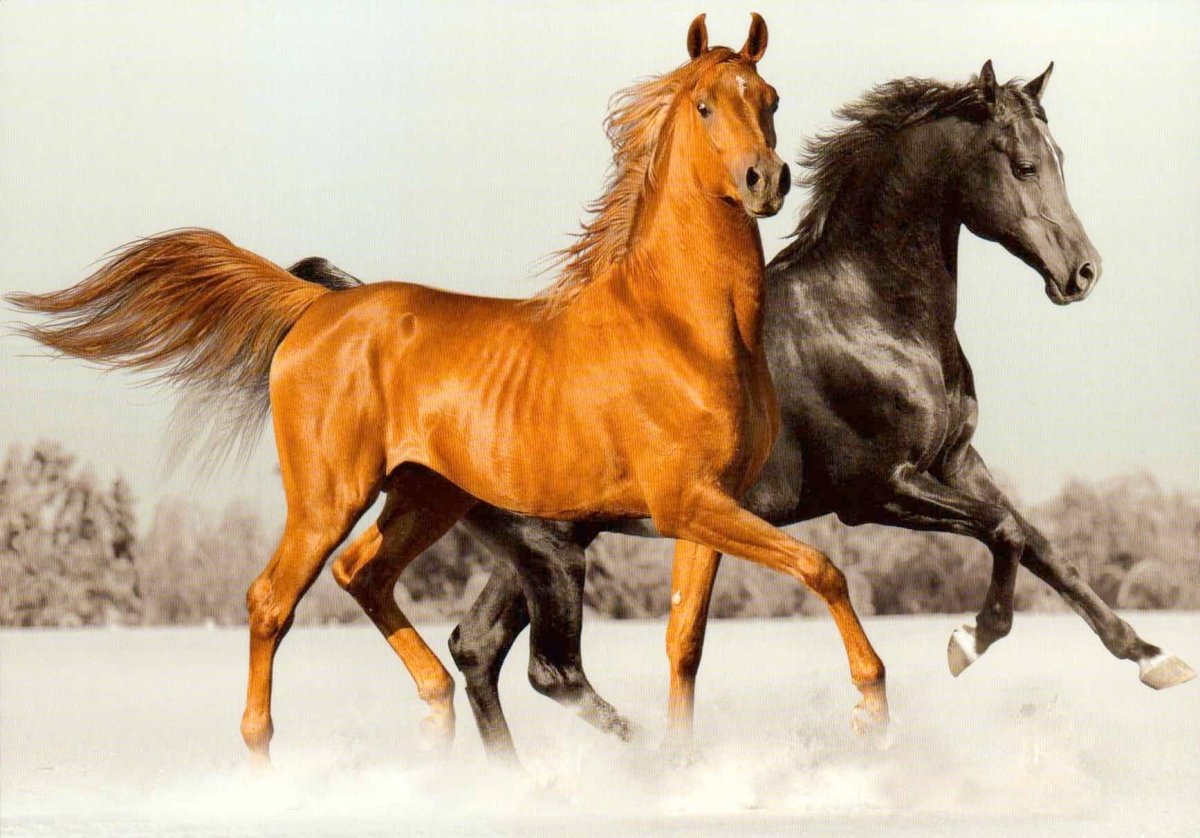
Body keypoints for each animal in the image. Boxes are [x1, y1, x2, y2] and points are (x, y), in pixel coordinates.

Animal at [9, 14, 892, 766]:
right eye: (706, 104)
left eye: (769, 99)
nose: (765, 179)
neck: (684, 326)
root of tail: (316, 309)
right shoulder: (686, 501)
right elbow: (823, 568)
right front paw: (871, 706)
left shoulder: (710, 504)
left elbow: (686, 643)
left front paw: (680, 765)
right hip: (329, 494)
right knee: (271, 601)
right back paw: (266, 758)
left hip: (424, 495)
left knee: (363, 575)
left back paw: (437, 716)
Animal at [290, 60, 1187, 760]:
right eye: (1021, 163)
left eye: (1059, 155)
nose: (1082, 272)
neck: (871, 312)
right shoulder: (877, 489)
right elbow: (1003, 535)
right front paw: (969, 639)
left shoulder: (955, 461)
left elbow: (1045, 546)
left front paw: (1151, 656)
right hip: (551, 546)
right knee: (529, 663)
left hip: (543, 543)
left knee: (478, 649)